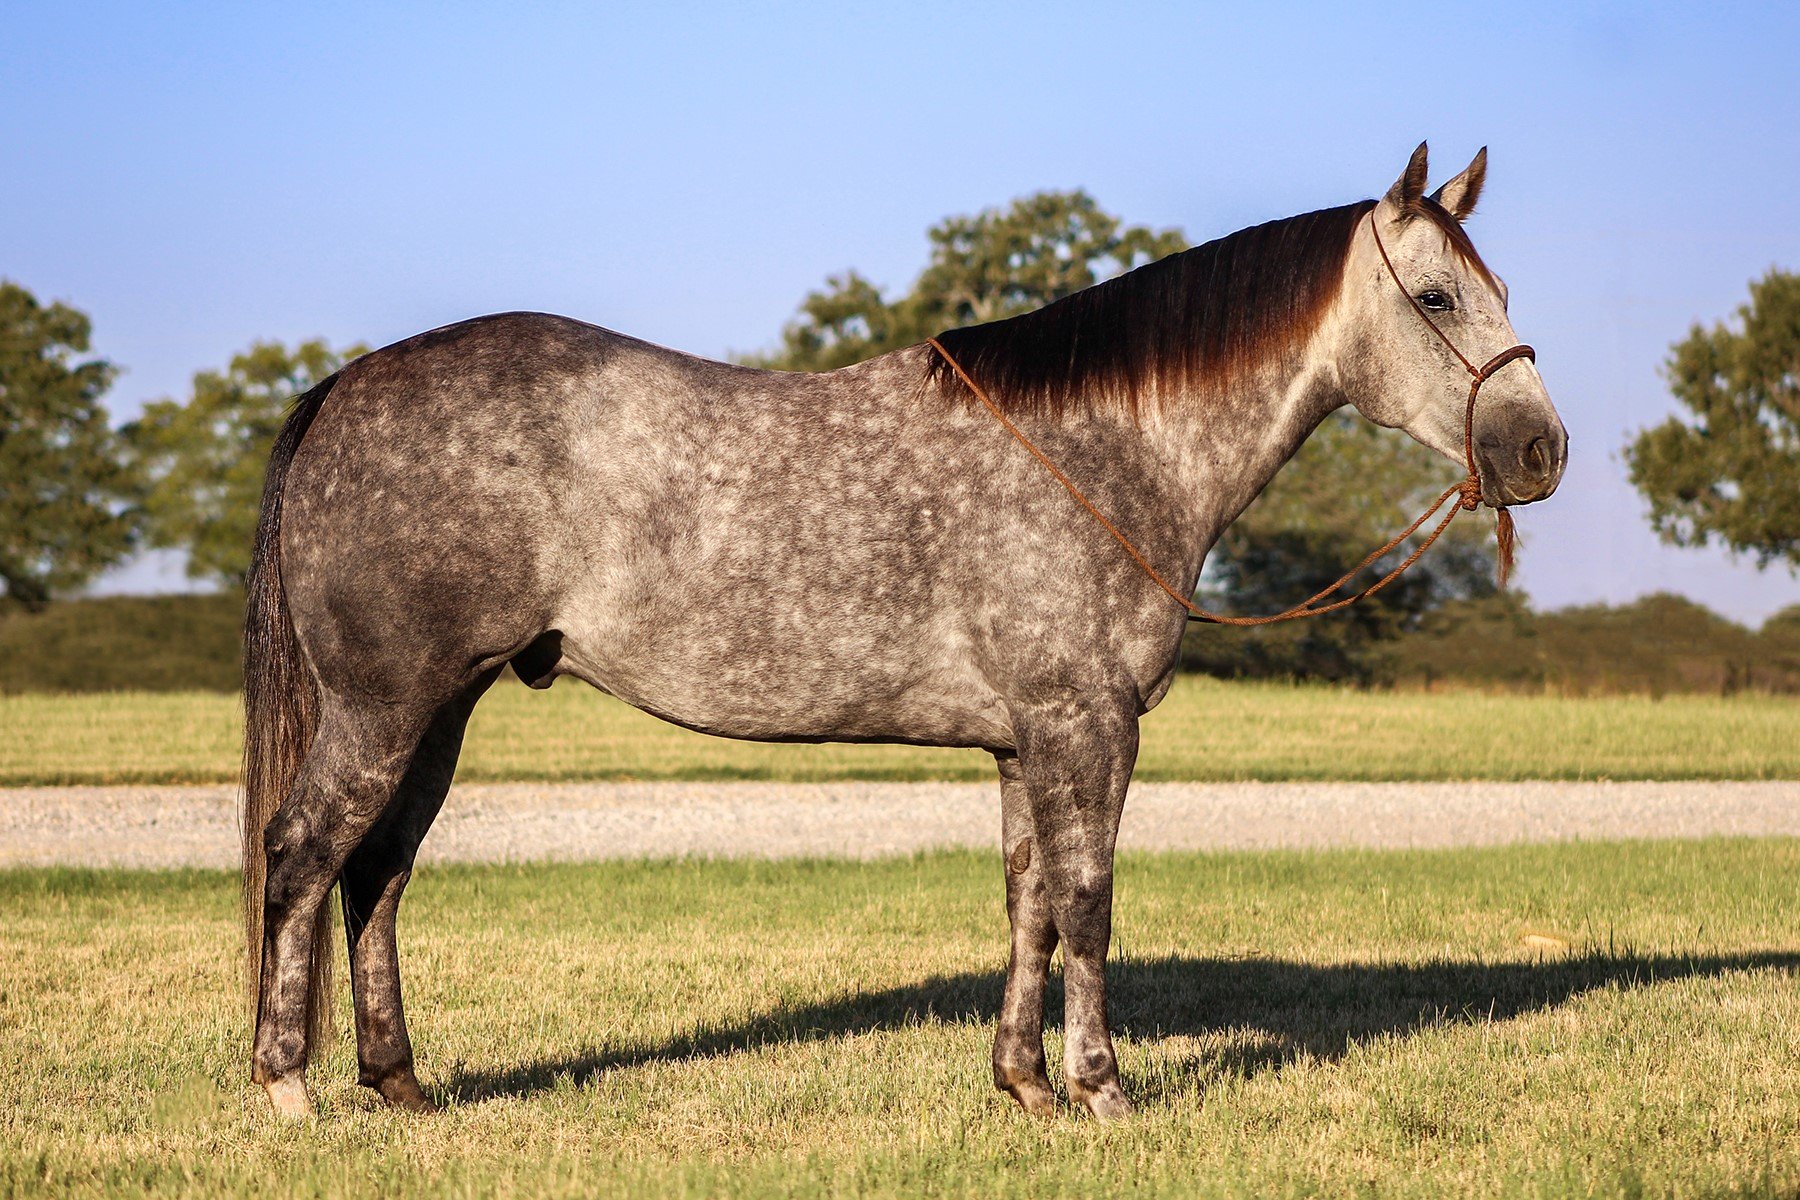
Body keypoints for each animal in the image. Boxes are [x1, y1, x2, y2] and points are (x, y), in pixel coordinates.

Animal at [242, 143, 1566, 1120]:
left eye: (1503, 290)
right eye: (1437, 296)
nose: (1539, 450)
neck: (1103, 449)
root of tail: (343, 388)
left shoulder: (1025, 741)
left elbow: (1031, 900)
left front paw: (1023, 1086)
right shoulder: (1086, 724)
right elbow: (1090, 899)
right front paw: (1102, 1092)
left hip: (442, 708)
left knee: (378, 873)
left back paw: (399, 1084)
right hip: (382, 706)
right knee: (303, 855)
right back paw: (287, 1091)